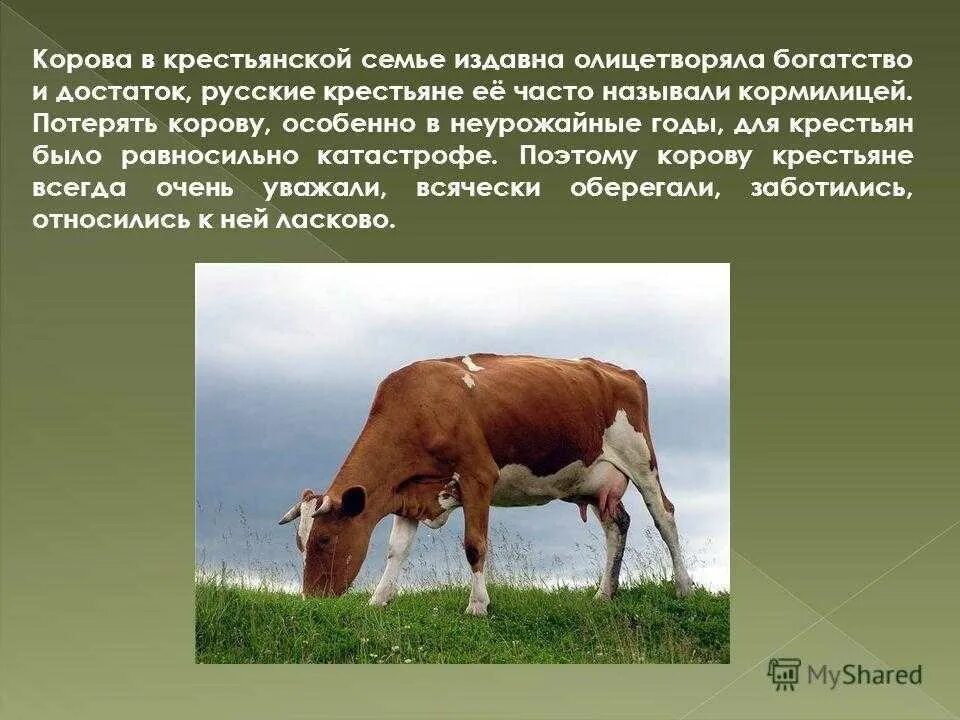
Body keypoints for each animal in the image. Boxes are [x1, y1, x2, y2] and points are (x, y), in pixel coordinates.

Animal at [278, 354, 694, 615]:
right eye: (301, 543)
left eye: (324, 540)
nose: (312, 600)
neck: (420, 406)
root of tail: (618, 370)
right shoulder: (409, 492)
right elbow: (396, 551)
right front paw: (379, 600)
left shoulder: (478, 476)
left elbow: (474, 546)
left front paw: (478, 605)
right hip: (595, 482)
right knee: (617, 526)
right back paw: (604, 594)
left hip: (641, 460)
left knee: (665, 517)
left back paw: (684, 587)